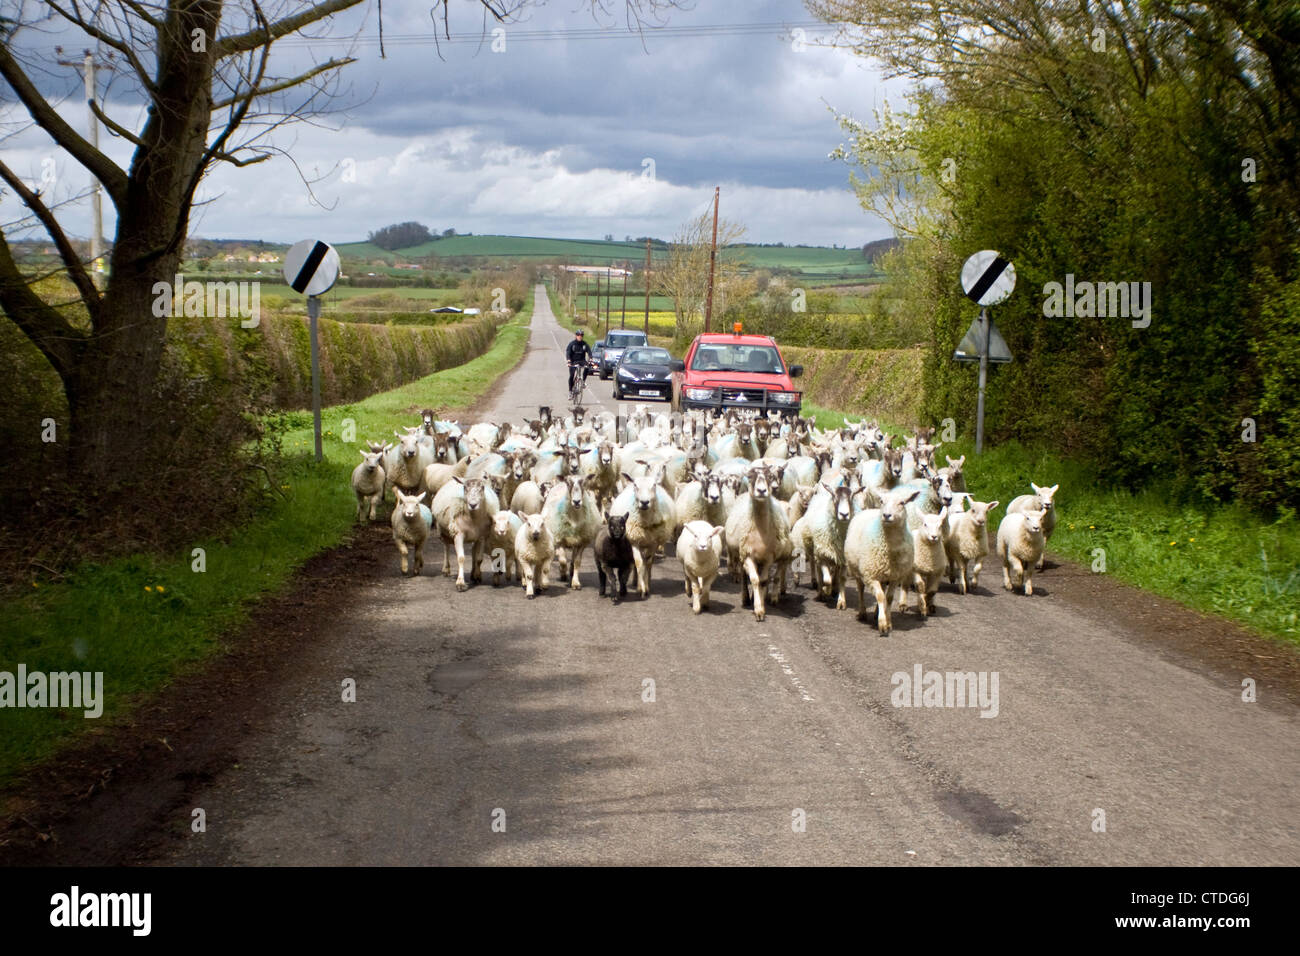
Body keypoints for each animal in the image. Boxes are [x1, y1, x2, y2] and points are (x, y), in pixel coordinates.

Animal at [609, 463, 677, 599]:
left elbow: (649, 562)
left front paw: (646, 586)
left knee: (647, 562)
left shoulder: (654, 543)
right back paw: (636, 582)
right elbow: (639, 562)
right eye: (635, 485)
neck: (645, 521)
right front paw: (641, 589)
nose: (644, 502)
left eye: (654, 485)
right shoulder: (634, 540)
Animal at [724, 463, 794, 622]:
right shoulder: (748, 555)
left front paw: (761, 604)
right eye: (750, 477)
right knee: (744, 577)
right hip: (741, 554)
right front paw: (758, 610)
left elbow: (763, 581)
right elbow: (754, 580)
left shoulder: (768, 558)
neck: (761, 531)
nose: (761, 491)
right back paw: (745, 598)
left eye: (770, 477)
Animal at [843, 485, 922, 635]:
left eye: (902, 503)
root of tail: (869, 509)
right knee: (861, 589)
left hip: (884, 573)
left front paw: (888, 621)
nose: (886, 515)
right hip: (857, 569)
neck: (889, 549)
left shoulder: (895, 576)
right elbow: (879, 596)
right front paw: (882, 624)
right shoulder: (871, 575)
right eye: (881, 501)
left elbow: (889, 598)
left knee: (883, 590)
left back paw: (876, 612)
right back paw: (863, 613)